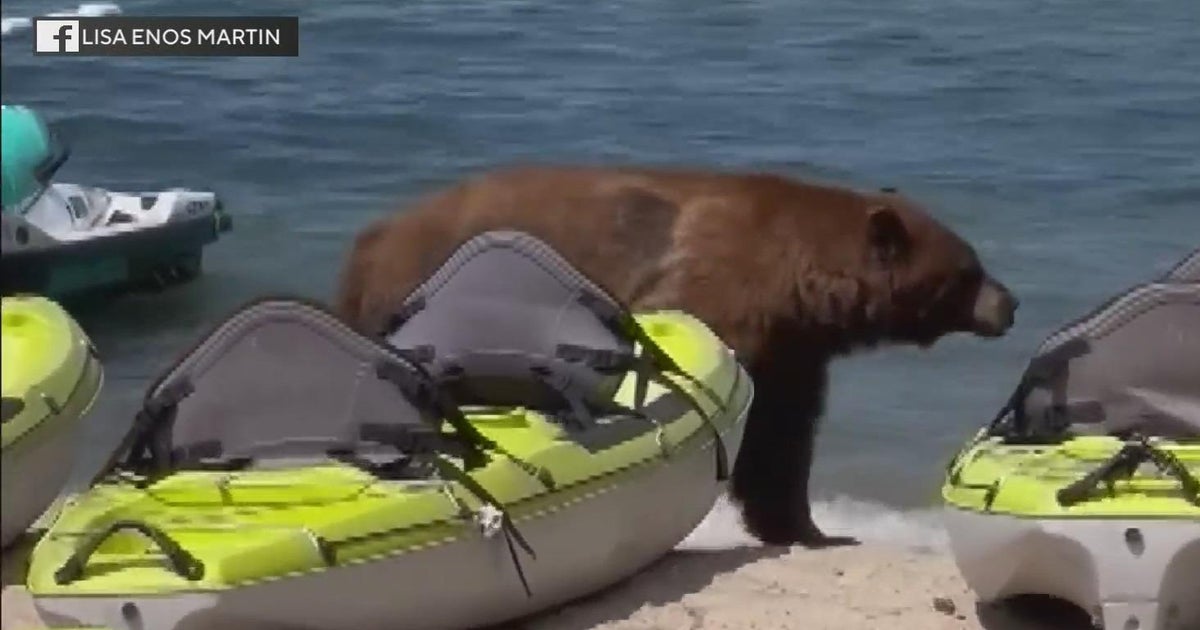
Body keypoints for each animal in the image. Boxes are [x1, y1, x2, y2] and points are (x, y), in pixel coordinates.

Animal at [335, 165, 1019, 547]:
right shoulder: (712, 294)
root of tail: (369, 240)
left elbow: (783, 439)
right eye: (968, 271)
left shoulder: (792, 352)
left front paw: (812, 529)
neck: (795, 282)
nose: (1009, 302)